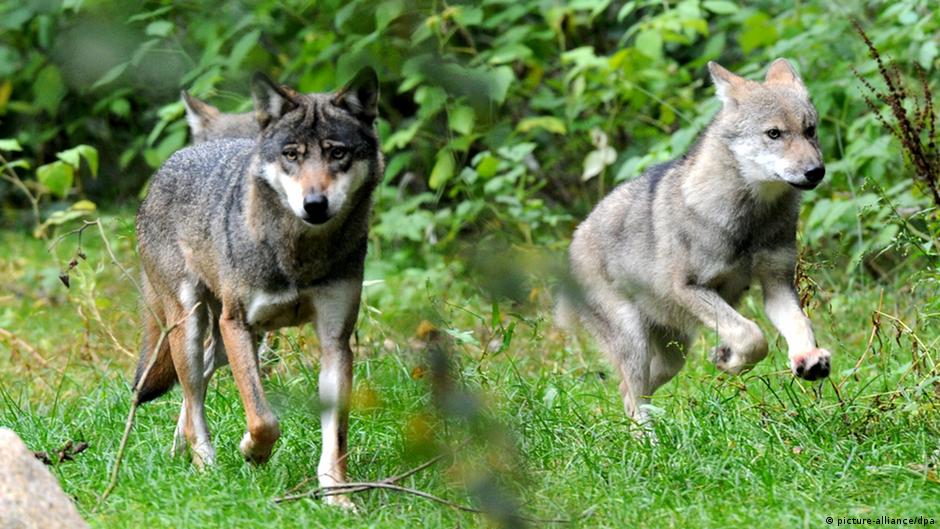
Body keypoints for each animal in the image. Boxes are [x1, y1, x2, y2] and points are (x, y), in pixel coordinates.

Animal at [134, 68, 381, 509]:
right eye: (291, 155)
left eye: (337, 154)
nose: (315, 204)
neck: (299, 254)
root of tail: (168, 166)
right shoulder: (239, 325)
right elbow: (264, 419)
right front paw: (253, 451)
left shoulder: (335, 340)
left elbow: (336, 438)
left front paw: (337, 497)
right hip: (193, 325)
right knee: (193, 394)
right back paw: (206, 467)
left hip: (220, 343)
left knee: (193, 388)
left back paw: (180, 451)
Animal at [563, 58, 831, 429]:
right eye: (774, 133)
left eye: (810, 130)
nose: (816, 171)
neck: (751, 221)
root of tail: (575, 238)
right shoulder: (688, 288)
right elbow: (753, 337)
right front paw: (729, 360)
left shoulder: (777, 284)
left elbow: (799, 324)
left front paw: (808, 359)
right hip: (635, 342)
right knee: (633, 398)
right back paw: (651, 439)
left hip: (672, 356)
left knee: (629, 393)